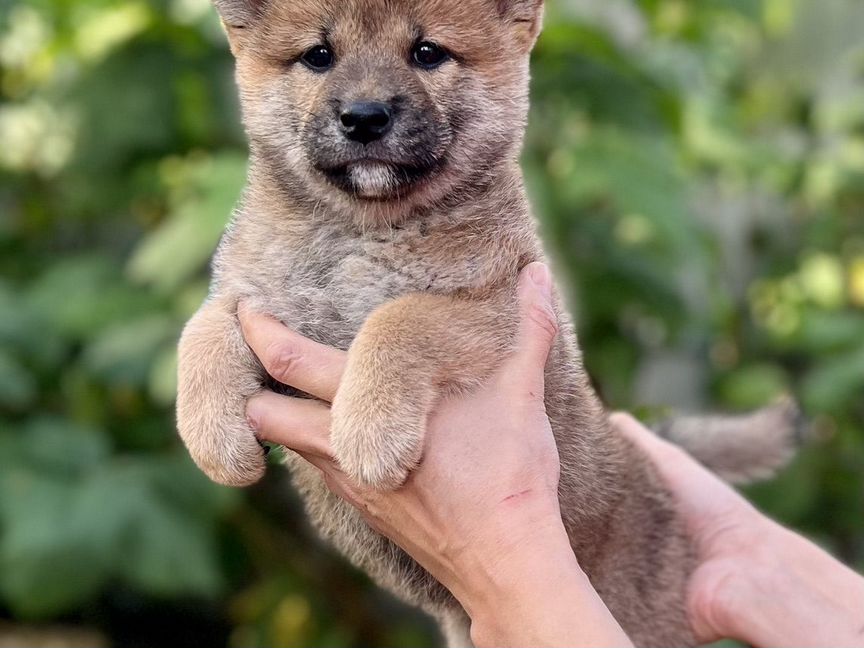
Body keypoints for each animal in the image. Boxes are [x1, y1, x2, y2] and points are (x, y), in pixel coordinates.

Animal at [177, 2, 804, 644]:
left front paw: (369, 432)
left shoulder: (490, 303)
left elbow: (396, 320)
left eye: (427, 53)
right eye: (319, 56)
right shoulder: (249, 293)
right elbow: (200, 333)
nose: (364, 118)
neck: (360, 230)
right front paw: (212, 439)